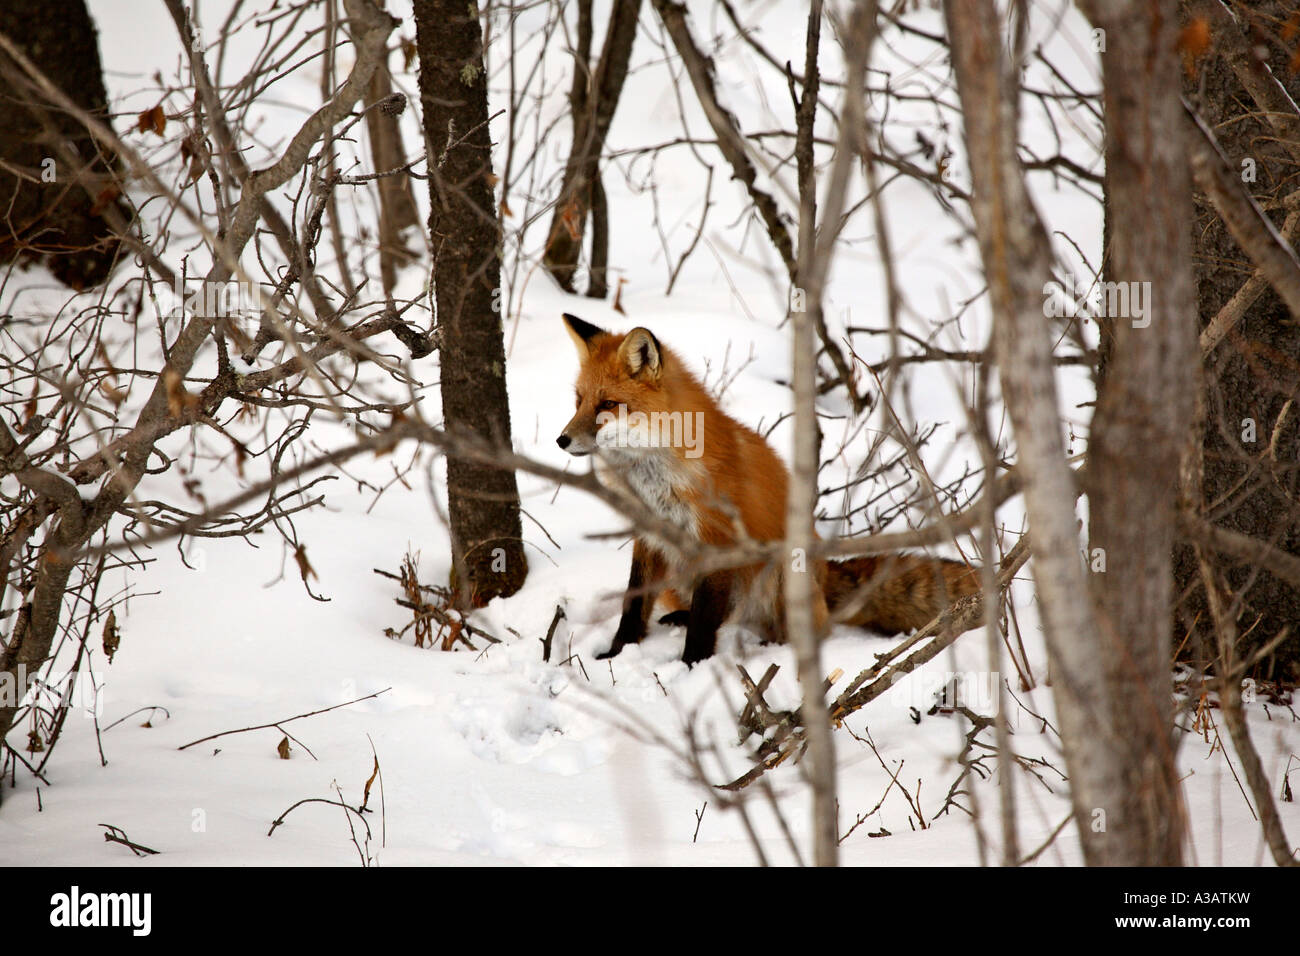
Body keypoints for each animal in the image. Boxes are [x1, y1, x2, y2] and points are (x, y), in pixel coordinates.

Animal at [555, 313, 979, 665]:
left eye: (608, 404)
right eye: (578, 401)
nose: (561, 440)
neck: (655, 478)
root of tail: (825, 571)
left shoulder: (720, 543)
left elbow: (705, 622)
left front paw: (693, 667)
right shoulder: (649, 537)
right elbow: (634, 605)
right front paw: (616, 653)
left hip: (784, 568)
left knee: (794, 628)